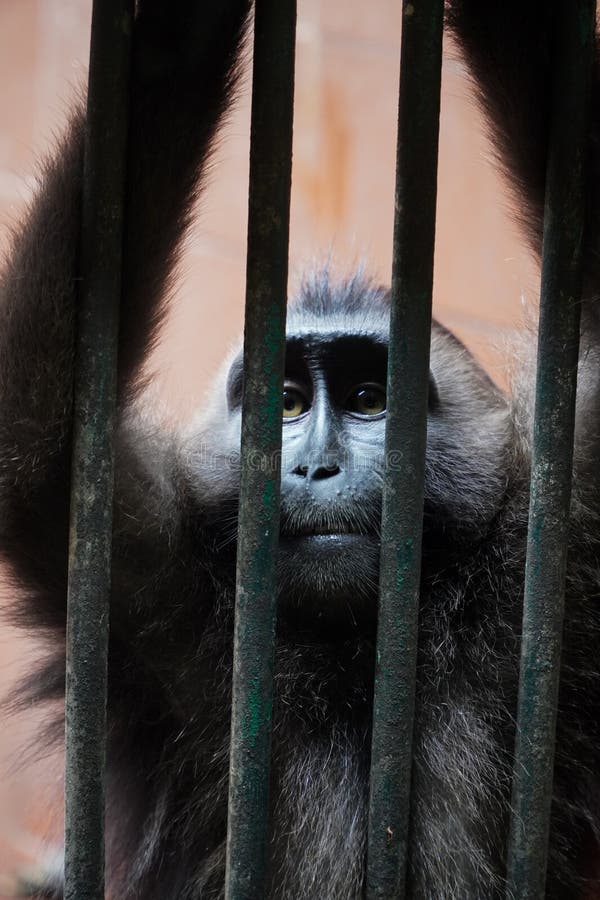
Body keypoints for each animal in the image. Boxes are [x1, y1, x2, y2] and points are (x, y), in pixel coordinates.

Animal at [2, 0, 600, 897]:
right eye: (285, 402)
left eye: (367, 400)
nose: (317, 466)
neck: (353, 658)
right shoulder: (149, 593)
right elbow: (40, 438)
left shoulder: (559, 544)